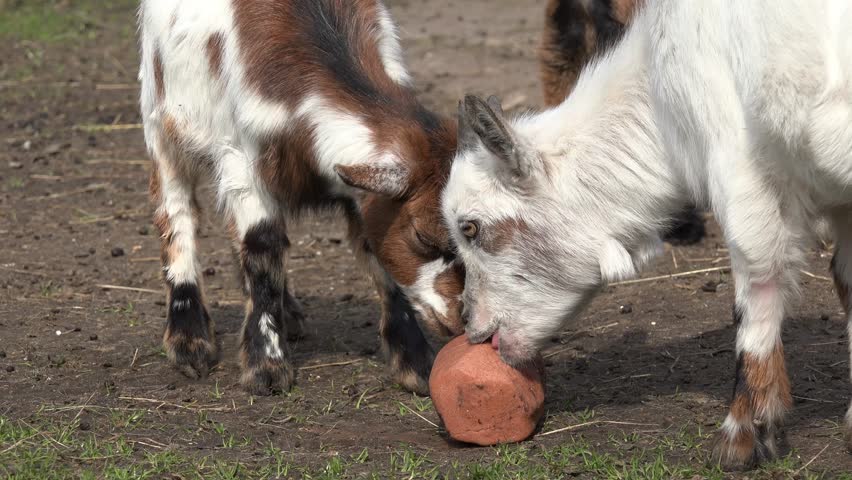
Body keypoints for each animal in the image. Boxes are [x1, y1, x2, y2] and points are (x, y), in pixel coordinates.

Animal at [139, 0, 464, 396]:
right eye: (424, 237)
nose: (462, 320)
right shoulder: (243, 160)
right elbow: (262, 246)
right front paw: (266, 367)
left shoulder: (358, 186)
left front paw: (415, 362)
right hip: (160, 119)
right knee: (176, 214)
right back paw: (189, 342)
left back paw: (288, 314)